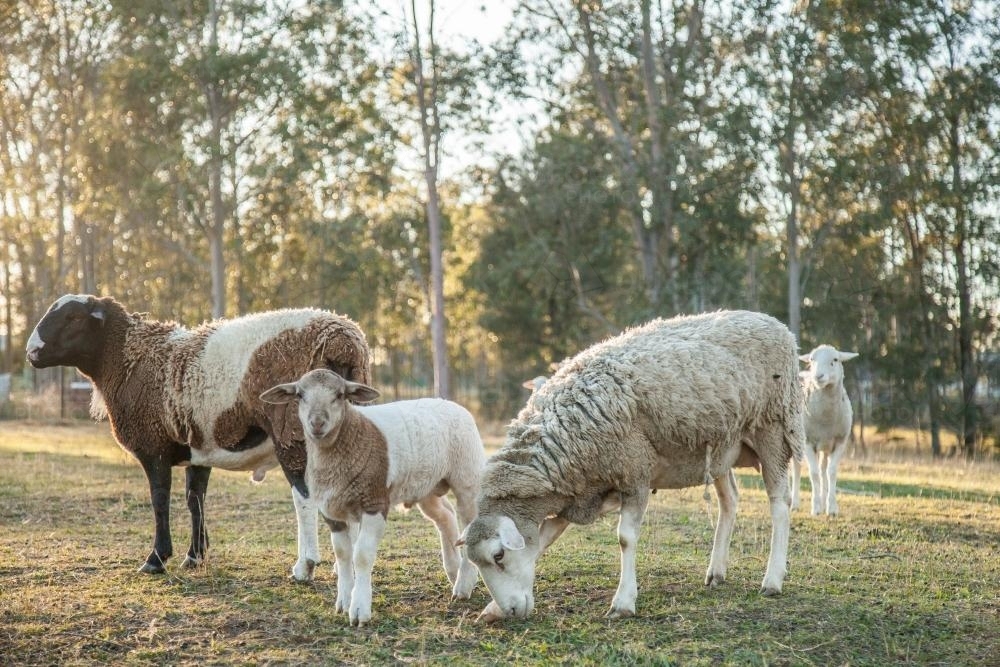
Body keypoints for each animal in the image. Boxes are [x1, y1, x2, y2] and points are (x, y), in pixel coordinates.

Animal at [25, 294, 371, 579]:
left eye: (72, 317)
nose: (31, 351)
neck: (128, 360)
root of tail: (343, 340)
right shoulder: (198, 449)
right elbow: (196, 500)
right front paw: (194, 556)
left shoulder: (154, 447)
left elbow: (159, 500)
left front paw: (156, 559)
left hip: (294, 433)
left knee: (304, 498)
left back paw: (304, 566)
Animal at [260, 369, 485, 627]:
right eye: (299, 395)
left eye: (340, 395)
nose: (317, 423)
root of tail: (449, 402)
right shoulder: (331, 511)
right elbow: (343, 554)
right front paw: (344, 601)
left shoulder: (374, 501)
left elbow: (362, 556)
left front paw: (359, 609)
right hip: (425, 486)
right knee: (445, 517)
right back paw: (454, 571)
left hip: (467, 478)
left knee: (469, 524)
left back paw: (464, 583)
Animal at [457, 310, 804, 622]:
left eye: (498, 555)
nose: (512, 611)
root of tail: (779, 326)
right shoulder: (582, 492)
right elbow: (542, 541)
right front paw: (493, 609)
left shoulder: (634, 471)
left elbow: (625, 538)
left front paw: (623, 602)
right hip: (722, 446)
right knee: (730, 500)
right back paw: (716, 572)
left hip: (773, 428)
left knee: (779, 504)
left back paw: (772, 579)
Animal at [791, 345, 859, 516]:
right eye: (812, 359)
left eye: (835, 359)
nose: (818, 376)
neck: (826, 419)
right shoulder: (808, 442)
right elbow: (813, 474)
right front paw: (815, 508)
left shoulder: (840, 441)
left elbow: (831, 472)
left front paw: (831, 508)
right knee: (796, 469)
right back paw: (794, 504)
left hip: (825, 446)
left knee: (823, 469)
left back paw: (822, 502)